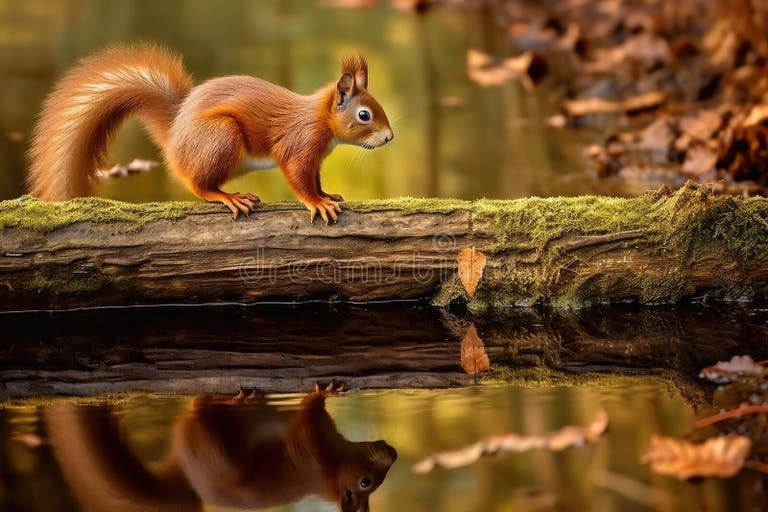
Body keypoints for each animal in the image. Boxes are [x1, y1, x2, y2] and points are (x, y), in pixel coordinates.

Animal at [28, 44, 394, 223]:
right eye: (364, 114)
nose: (390, 137)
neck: (319, 118)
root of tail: (176, 136)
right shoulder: (298, 145)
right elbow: (299, 179)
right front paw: (317, 203)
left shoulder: (314, 158)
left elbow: (314, 179)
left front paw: (327, 194)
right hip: (221, 138)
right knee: (198, 185)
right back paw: (228, 196)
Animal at [43, 386, 397, 512]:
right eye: (365, 482)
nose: (393, 453)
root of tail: (186, 467)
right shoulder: (307, 453)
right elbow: (304, 421)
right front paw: (323, 391)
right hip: (218, 451)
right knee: (200, 409)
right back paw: (234, 399)